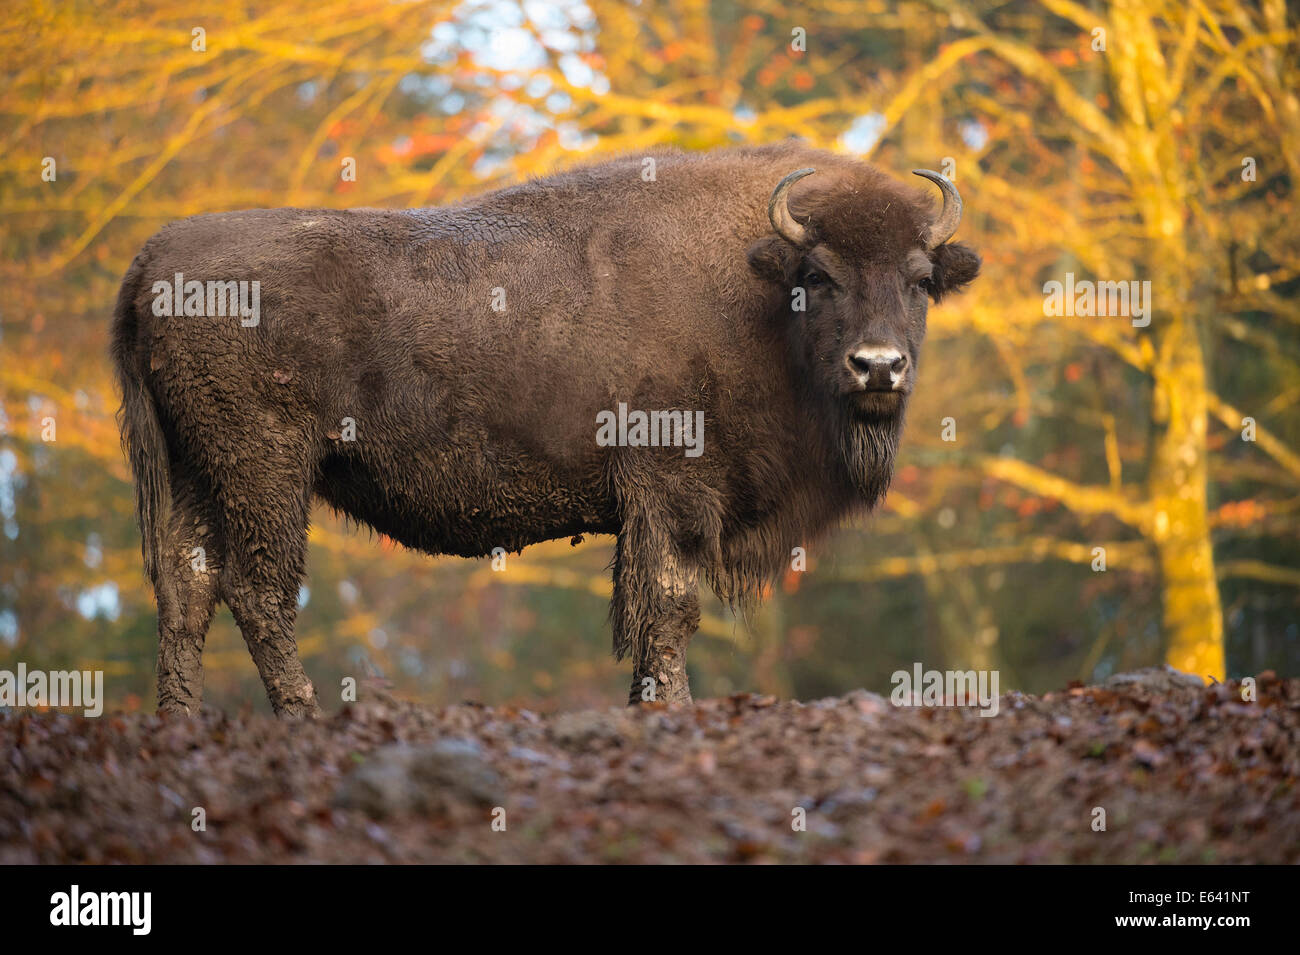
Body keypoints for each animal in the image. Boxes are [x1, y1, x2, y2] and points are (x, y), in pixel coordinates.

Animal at [112, 141, 979, 716]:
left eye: (919, 280)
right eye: (820, 276)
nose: (878, 367)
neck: (755, 288)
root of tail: (155, 256)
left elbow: (649, 616)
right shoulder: (671, 491)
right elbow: (670, 609)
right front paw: (671, 711)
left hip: (197, 473)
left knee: (186, 588)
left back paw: (181, 721)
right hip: (266, 470)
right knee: (257, 589)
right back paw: (304, 717)